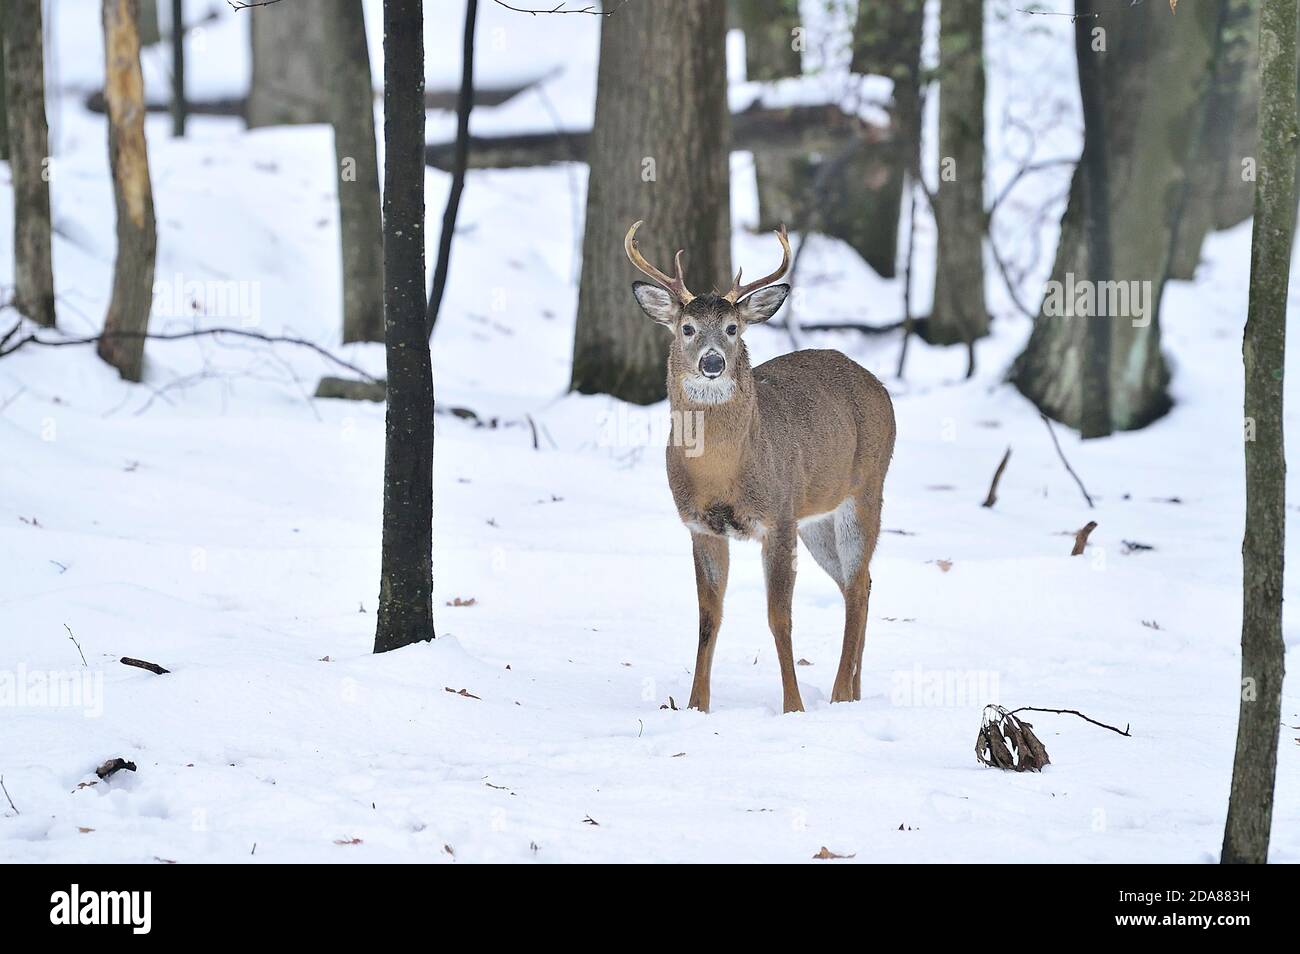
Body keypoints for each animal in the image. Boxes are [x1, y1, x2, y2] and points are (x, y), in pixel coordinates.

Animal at [625, 221, 896, 714]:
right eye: (687, 327)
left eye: (733, 328)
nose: (713, 361)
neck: (722, 473)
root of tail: (881, 387)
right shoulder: (701, 526)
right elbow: (708, 617)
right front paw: (696, 706)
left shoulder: (779, 516)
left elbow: (779, 617)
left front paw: (793, 707)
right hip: (818, 516)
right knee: (862, 583)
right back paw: (853, 691)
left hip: (866, 489)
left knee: (855, 585)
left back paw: (838, 694)